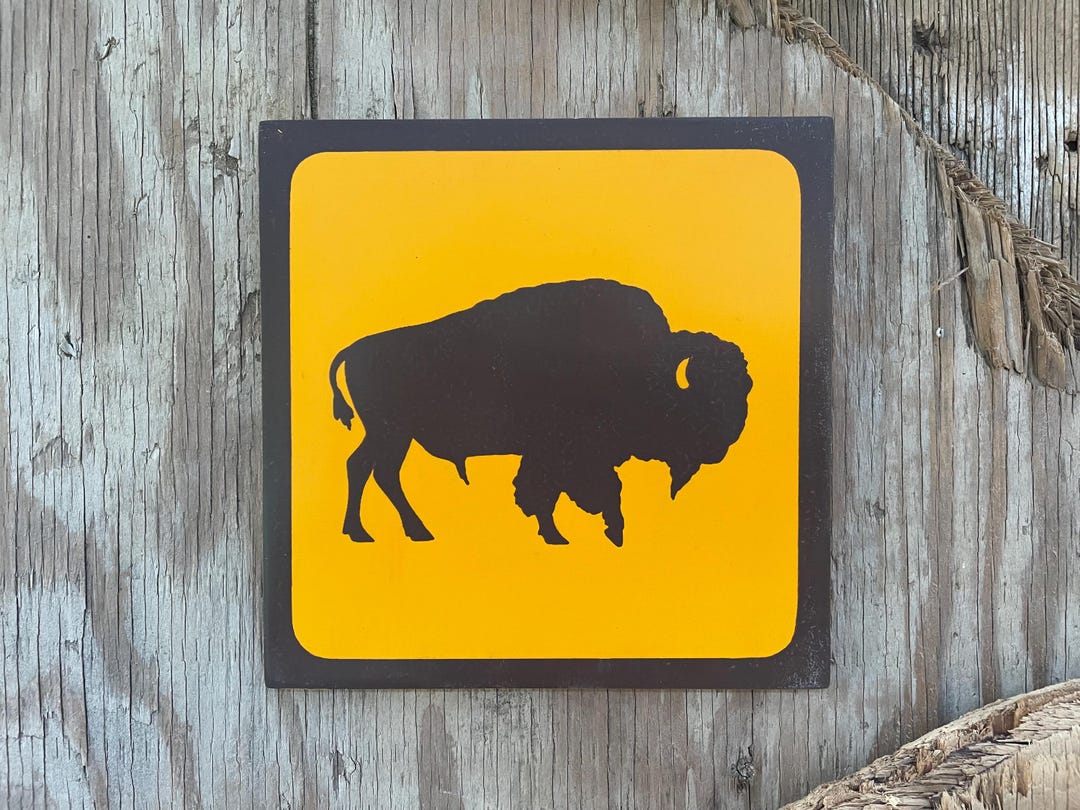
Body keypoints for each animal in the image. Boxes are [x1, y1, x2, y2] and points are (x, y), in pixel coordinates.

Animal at [328, 278, 752, 546]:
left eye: (743, 390)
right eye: (704, 398)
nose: (724, 443)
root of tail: (354, 348)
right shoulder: (561, 451)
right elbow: (551, 491)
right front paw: (565, 536)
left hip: (390, 434)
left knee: (366, 467)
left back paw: (370, 532)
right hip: (392, 433)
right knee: (375, 470)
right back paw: (402, 531)